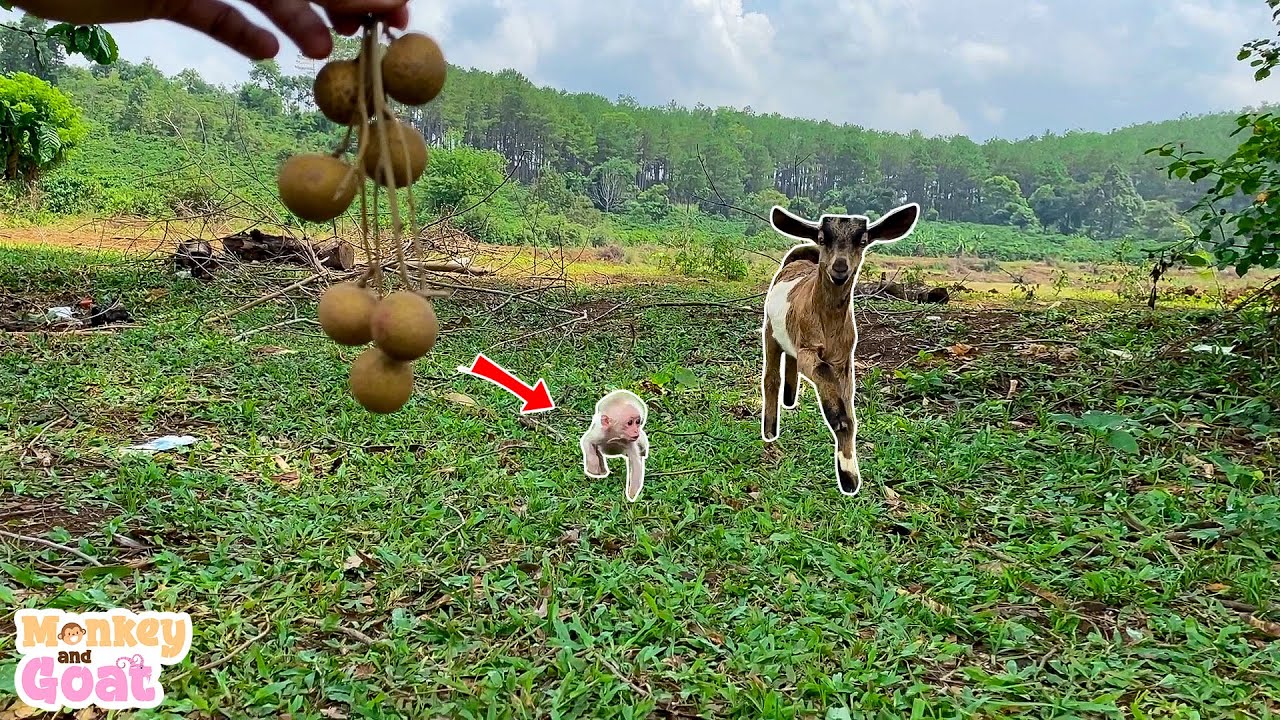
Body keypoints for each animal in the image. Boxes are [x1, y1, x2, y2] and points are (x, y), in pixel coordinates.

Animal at [760, 201, 921, 496]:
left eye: (863, 240)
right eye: (823, 238)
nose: (840, 267)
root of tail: (798, 260)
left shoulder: (844, 358)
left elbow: (850, 410)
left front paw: (850, 475)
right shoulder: (810, 350)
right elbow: (831, 393)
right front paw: (846, 472)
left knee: (790, 365)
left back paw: (790, 400)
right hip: (770, 331)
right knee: (771, 377)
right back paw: (769, 430)